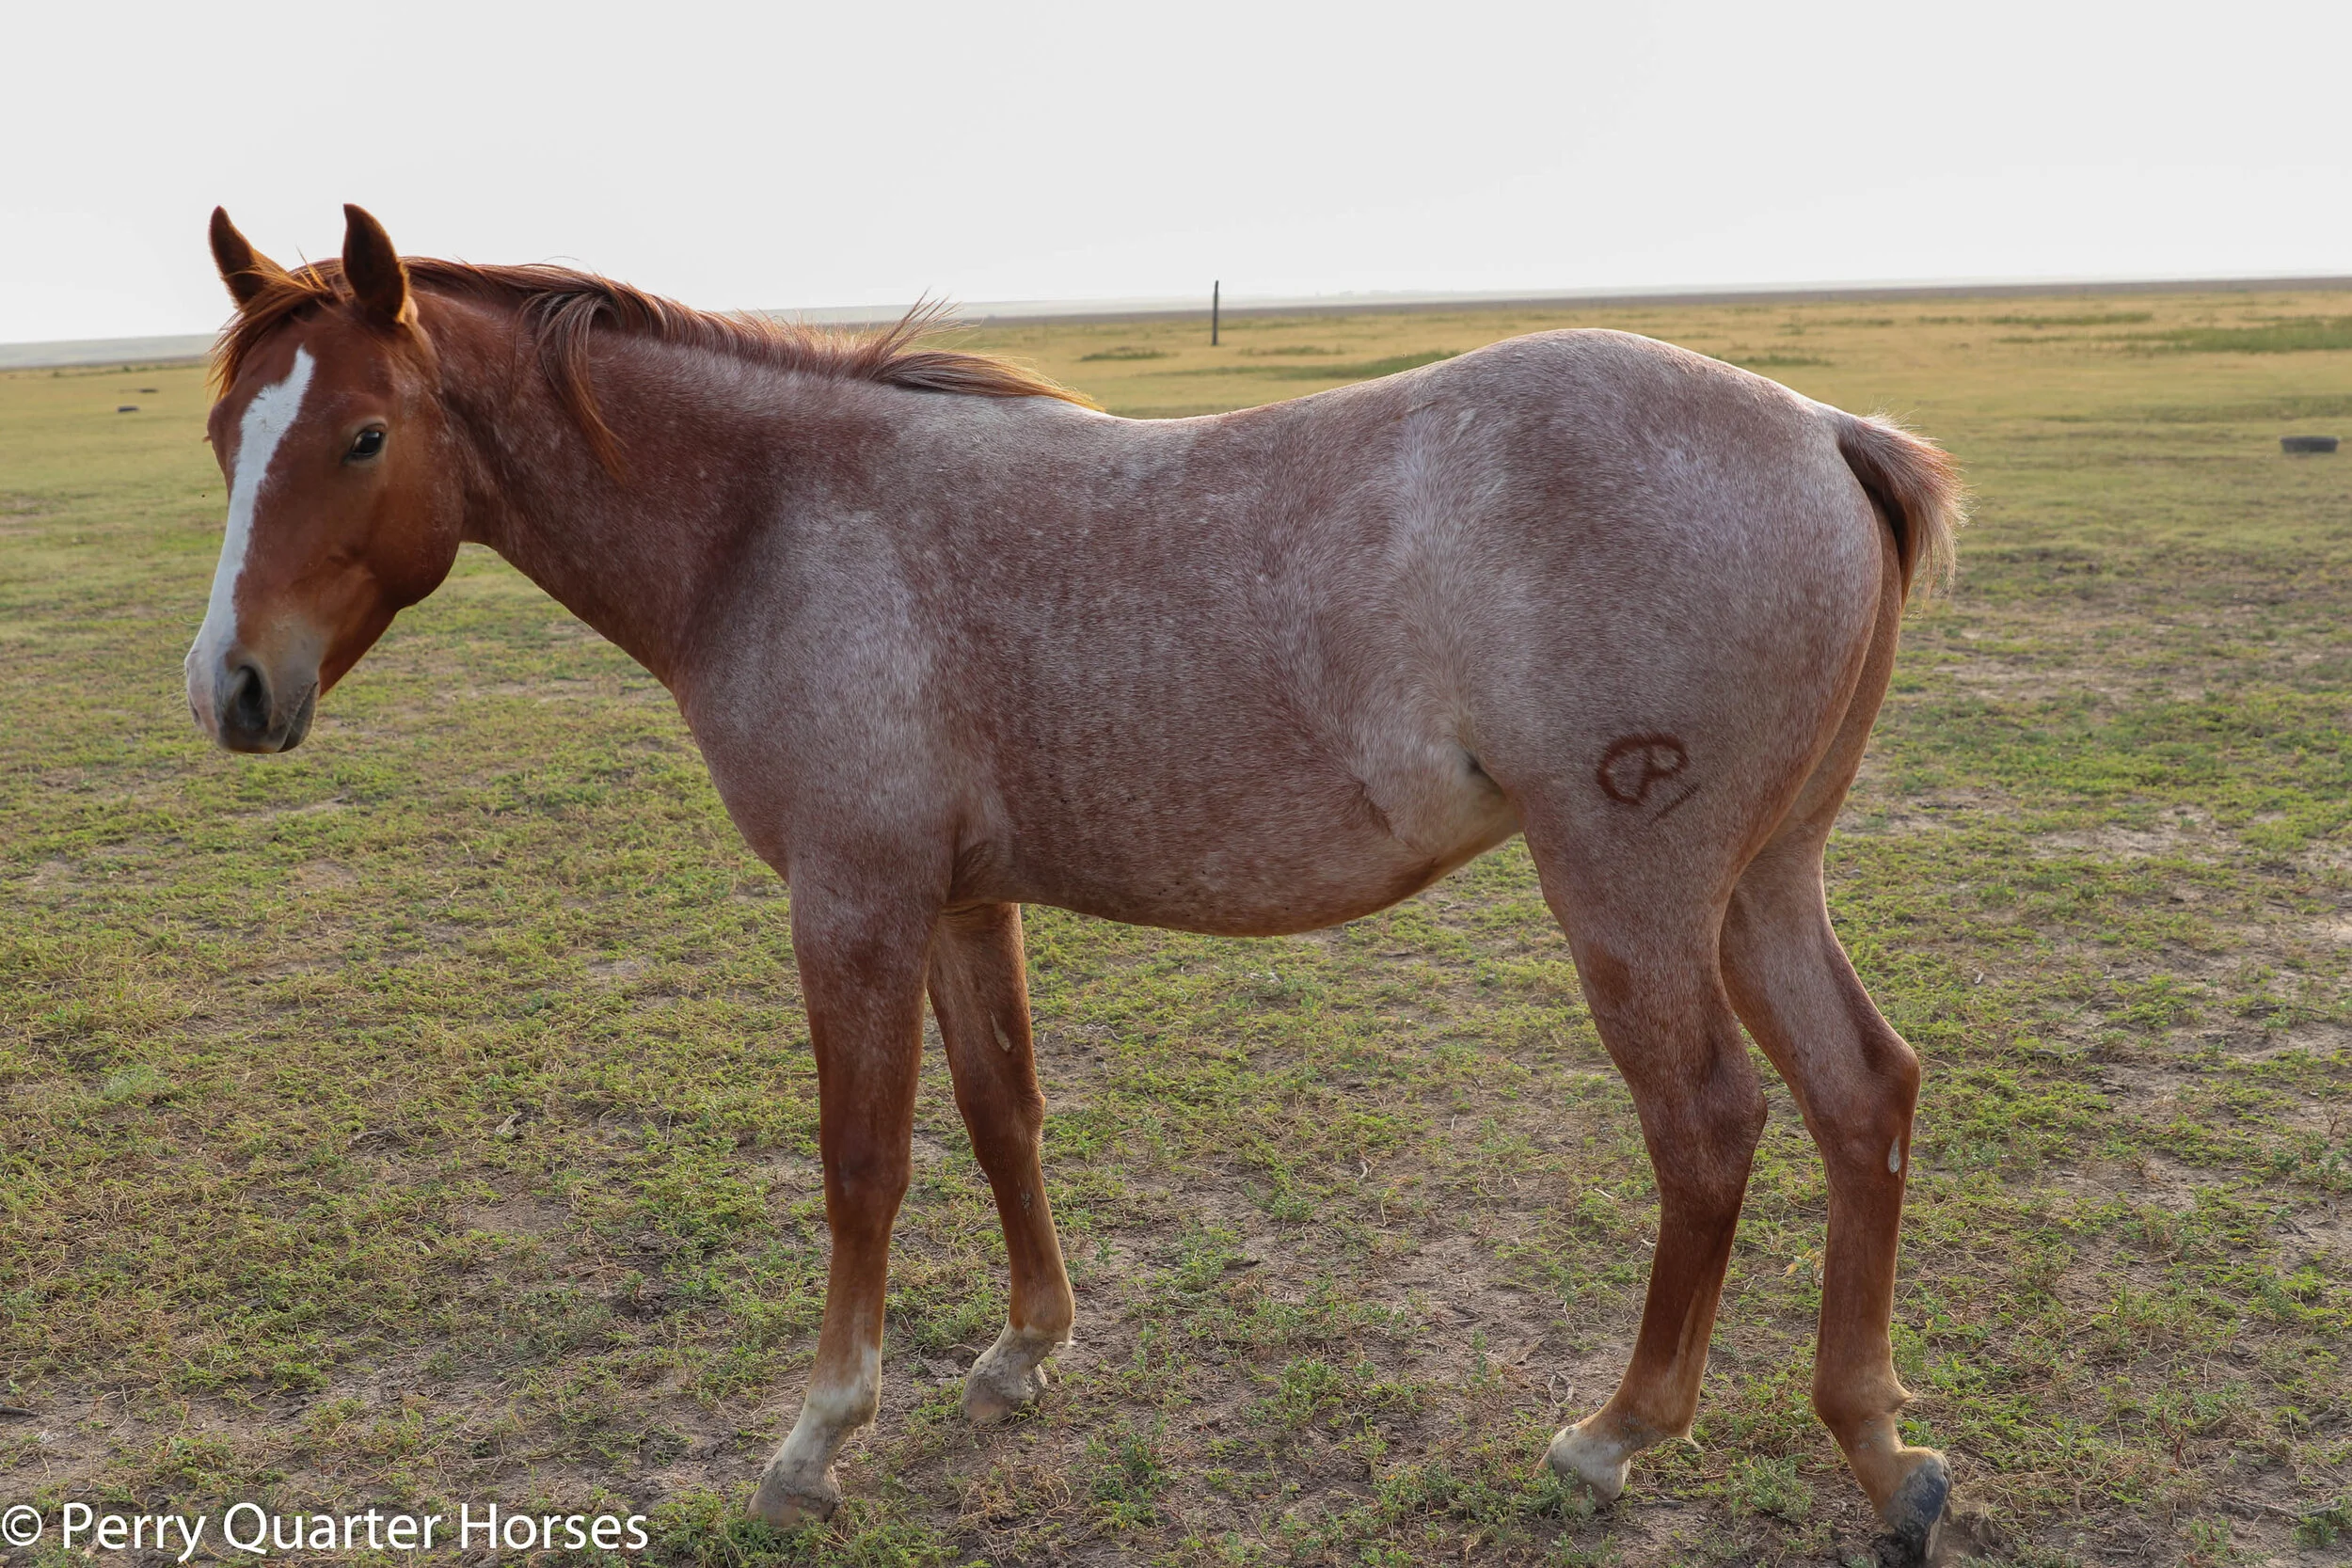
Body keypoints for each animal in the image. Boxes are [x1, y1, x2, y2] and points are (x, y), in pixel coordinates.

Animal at [188, 206, 1963, 1561]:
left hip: (1637, 897)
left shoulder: (853, 901)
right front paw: (1022, 1349)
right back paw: (1880, 1446)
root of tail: (1825, 430)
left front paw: (819, 1431)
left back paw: (1616, 1432)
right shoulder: (964, 901)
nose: (230, 689)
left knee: (1711, 1127)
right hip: (1765, 884)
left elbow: (863, 1160)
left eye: (361, 434)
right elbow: (1001, 1115)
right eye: (225, 435)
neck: (773, 520)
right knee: (1864, 1094)